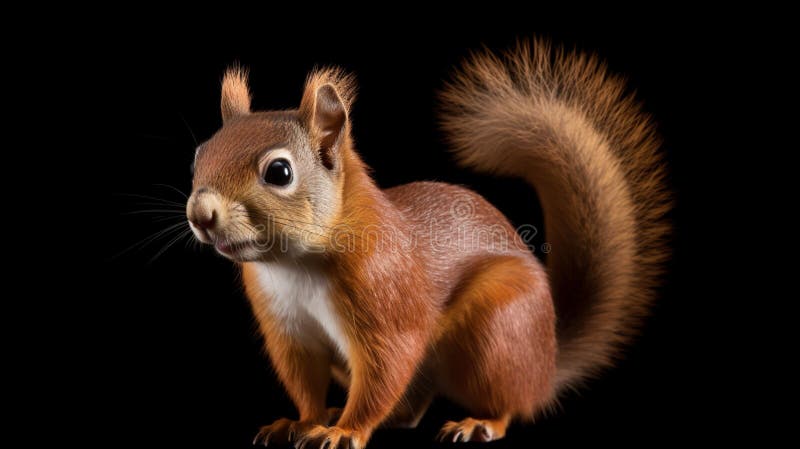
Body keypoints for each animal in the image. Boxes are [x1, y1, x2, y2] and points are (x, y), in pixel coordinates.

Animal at [186, 39, 671, 448]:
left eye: (279, 172)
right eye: (198, 155)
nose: (200, 214)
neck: (295, 266)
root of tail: (546, 364)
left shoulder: (387, 303)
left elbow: (383, 371)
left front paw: (345, 431)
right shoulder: (287, 329)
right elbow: (303, 380)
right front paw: (302, 421)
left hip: (497, 329)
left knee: (507, 402)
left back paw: (480, 423)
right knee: (411, 405)